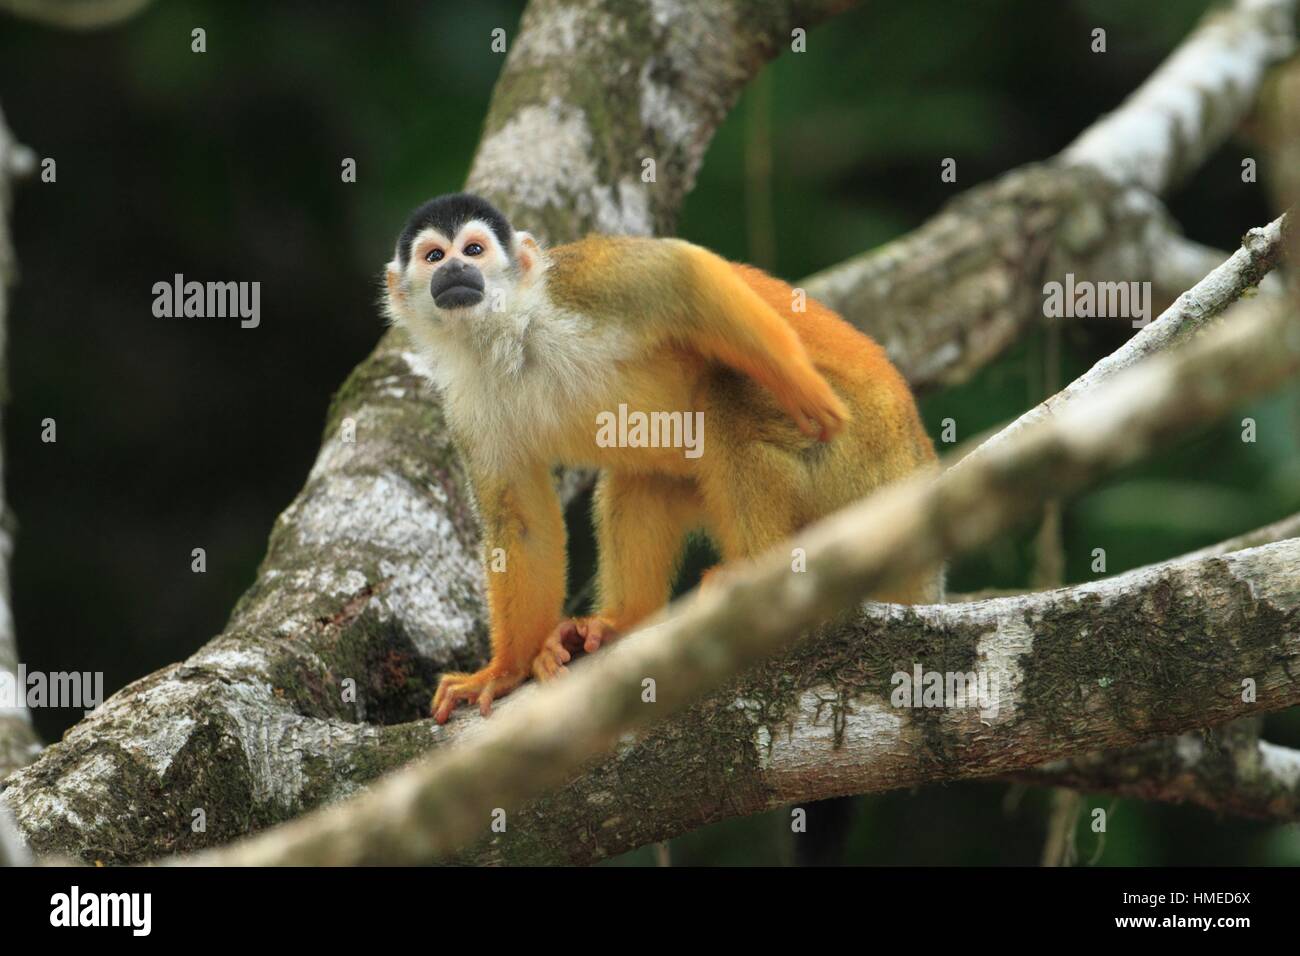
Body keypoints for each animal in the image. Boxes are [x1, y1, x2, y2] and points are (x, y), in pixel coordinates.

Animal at [383, 193, 940, 724]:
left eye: (474, 249)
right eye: (434, 257)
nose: (456, 270)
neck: (501, 336)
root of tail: (917, 456)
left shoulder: (577, 283)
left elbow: (679, 273)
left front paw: (800, 382)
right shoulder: (464, 402)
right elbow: (519, 520)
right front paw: (504, 672)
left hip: (864, 458)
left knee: (727, 392)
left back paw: (754, 574)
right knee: (643, 472)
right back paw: (615, 625)